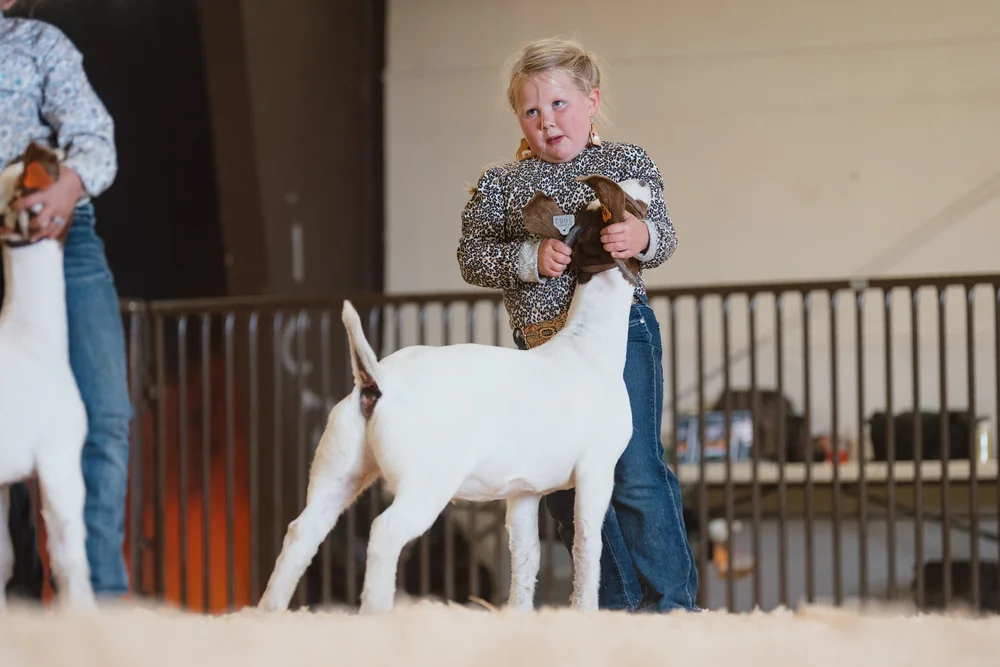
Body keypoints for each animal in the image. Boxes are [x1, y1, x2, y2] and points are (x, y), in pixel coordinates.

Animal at [258, 175, 652, 614]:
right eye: (629, 202)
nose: (644, 180)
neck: (586, 344)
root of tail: (377, 382)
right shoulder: (596, 471)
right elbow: (588, 546)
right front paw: (584, 611)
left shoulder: (524, 490)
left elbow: (525, 554)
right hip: (426, 482)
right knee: (385, 533)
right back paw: (375, 613)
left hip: (339, 473)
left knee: (302, 532)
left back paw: (268, 613)